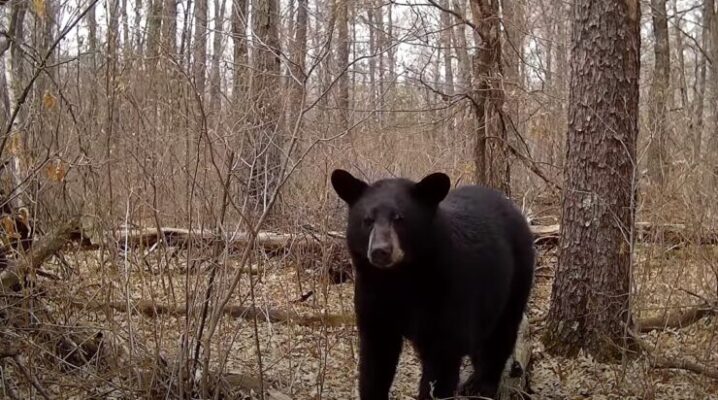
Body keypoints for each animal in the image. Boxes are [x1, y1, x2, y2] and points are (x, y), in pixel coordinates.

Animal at [330, 169, 535, 400]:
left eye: (399, 218)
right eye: (367, 220)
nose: (380, 251)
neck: (399, 278)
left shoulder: (446, 292)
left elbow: (442, 359)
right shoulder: (372, 295)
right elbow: (376, 358)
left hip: (515, 277)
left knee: (501, 332)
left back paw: (482, 385)